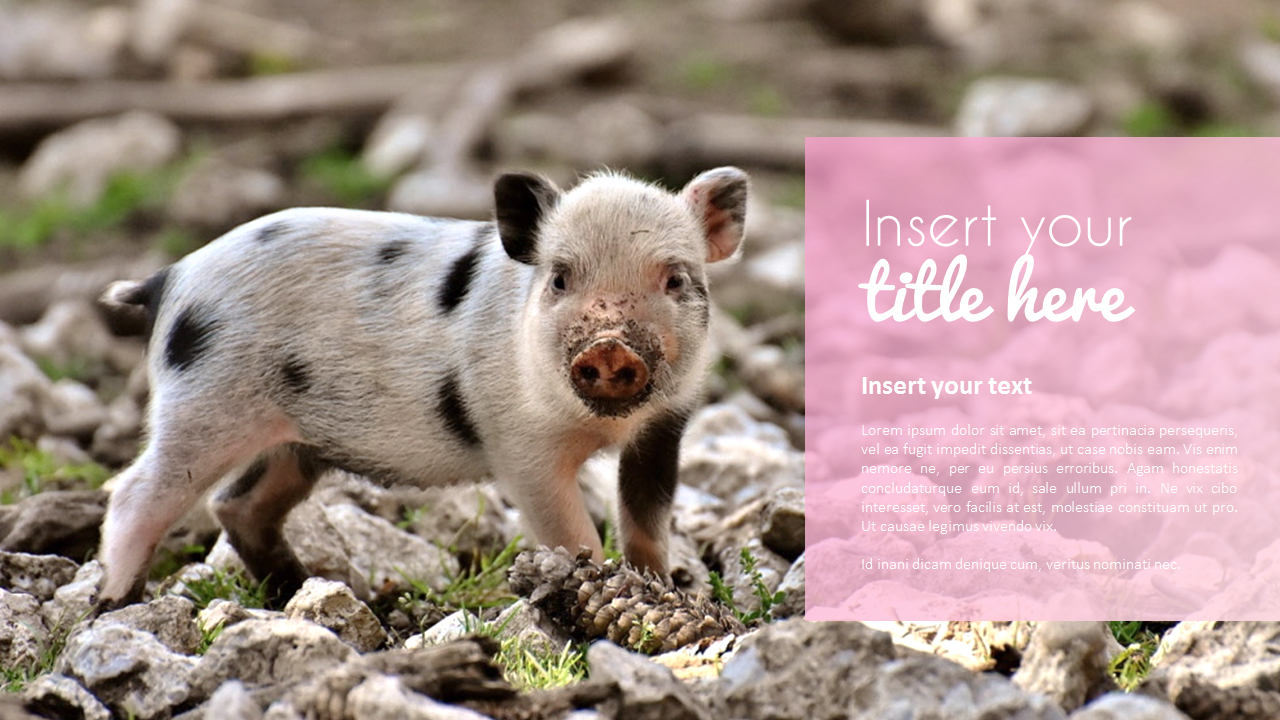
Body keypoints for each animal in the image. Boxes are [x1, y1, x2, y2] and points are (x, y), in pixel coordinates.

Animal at [95, 167, 749, 610]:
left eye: (675, 279)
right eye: (560, 278)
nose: (609, 347)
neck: (603, 426)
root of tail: (170, 278)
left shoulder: (666, 427)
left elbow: (647, 521)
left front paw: (661, 589)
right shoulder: (520, 446)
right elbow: (572, 533)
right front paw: (595, 582)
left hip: (294, 440)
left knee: (237, 504)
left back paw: (305, 589)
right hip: (201, 404)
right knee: (134, 492)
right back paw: (117, 604)